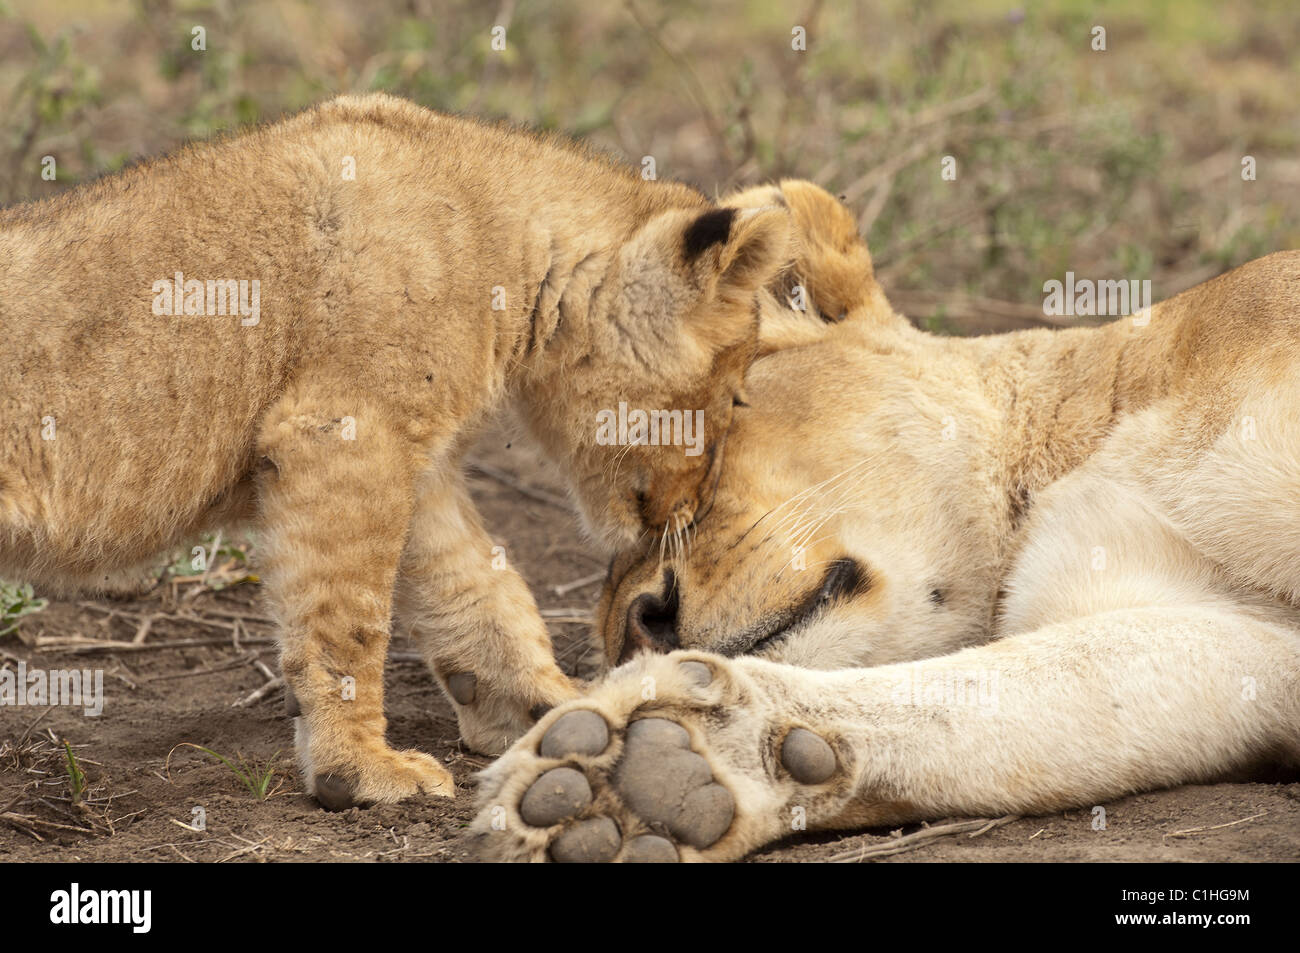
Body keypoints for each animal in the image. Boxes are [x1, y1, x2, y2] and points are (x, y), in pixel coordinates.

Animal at [0, 93, 795, 809]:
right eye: (734, 398)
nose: (694, 511)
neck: (505, 241)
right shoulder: (344, 435)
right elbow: (347, 618)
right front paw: (359, 773)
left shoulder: (420, 462)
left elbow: (479, 589)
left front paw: (556, 711)